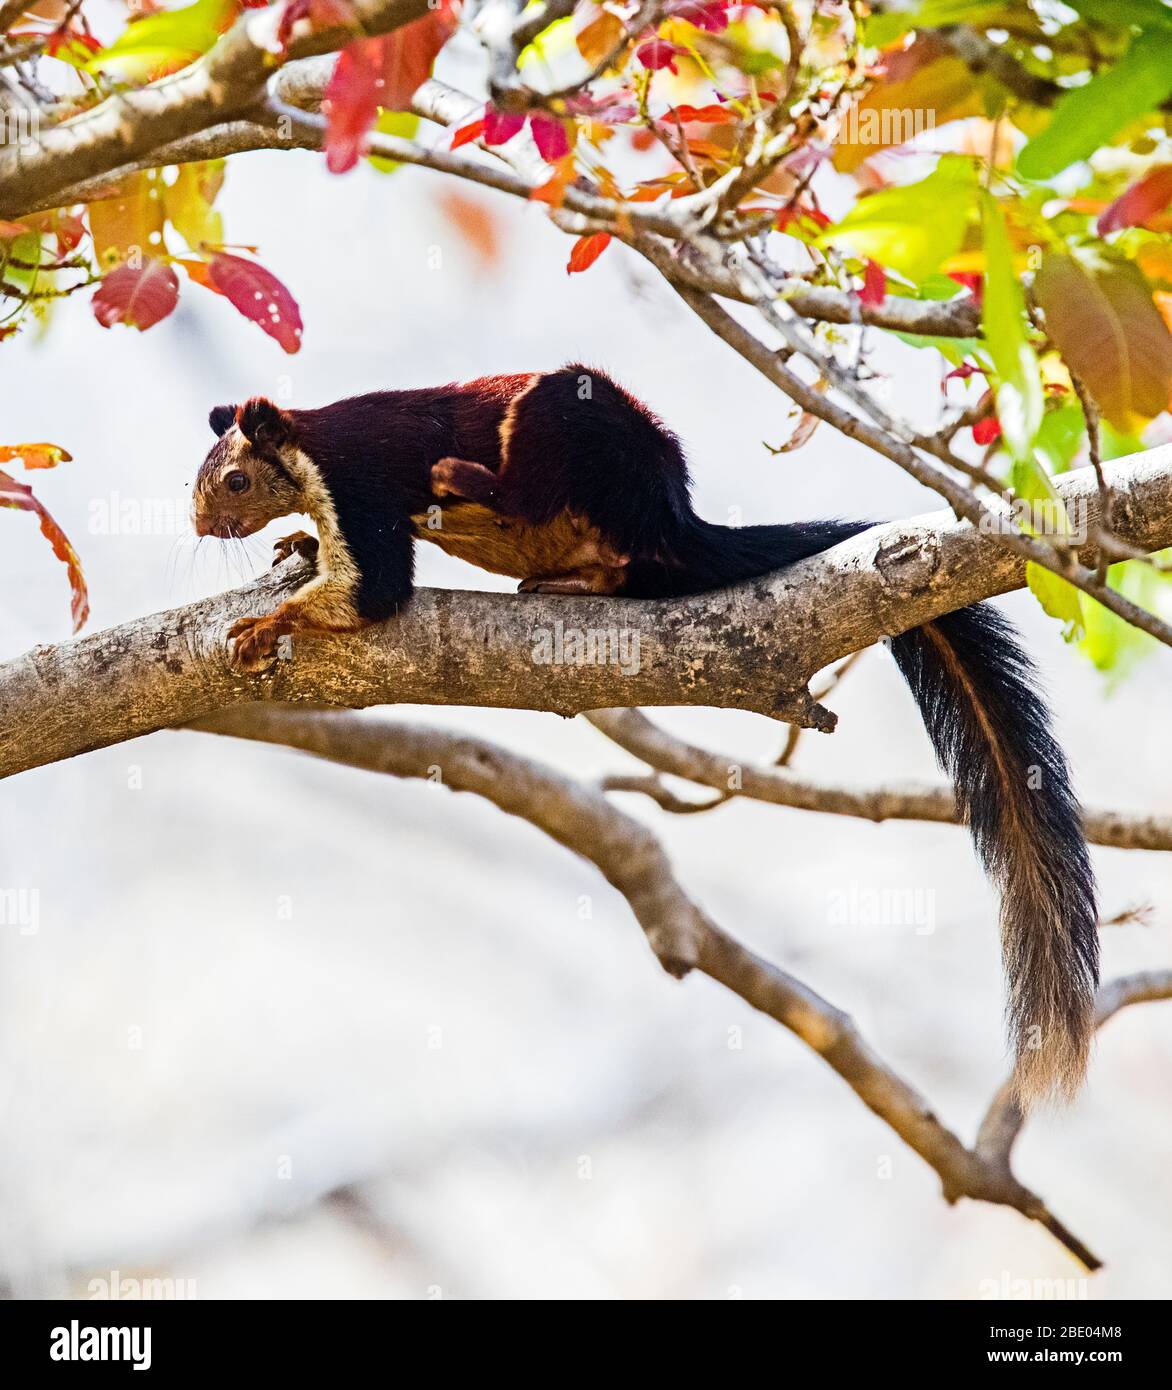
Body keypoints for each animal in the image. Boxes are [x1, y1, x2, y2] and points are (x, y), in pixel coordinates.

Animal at [192, 364, 1099, 1103]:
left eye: (234, 479)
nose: (202, 524)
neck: (306, 446)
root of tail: (672, 517)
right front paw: (298, 542)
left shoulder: (360, 482)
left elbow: (373, 593)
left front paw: (269, 621)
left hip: (573, 421)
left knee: (541, 491)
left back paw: (475, 481)